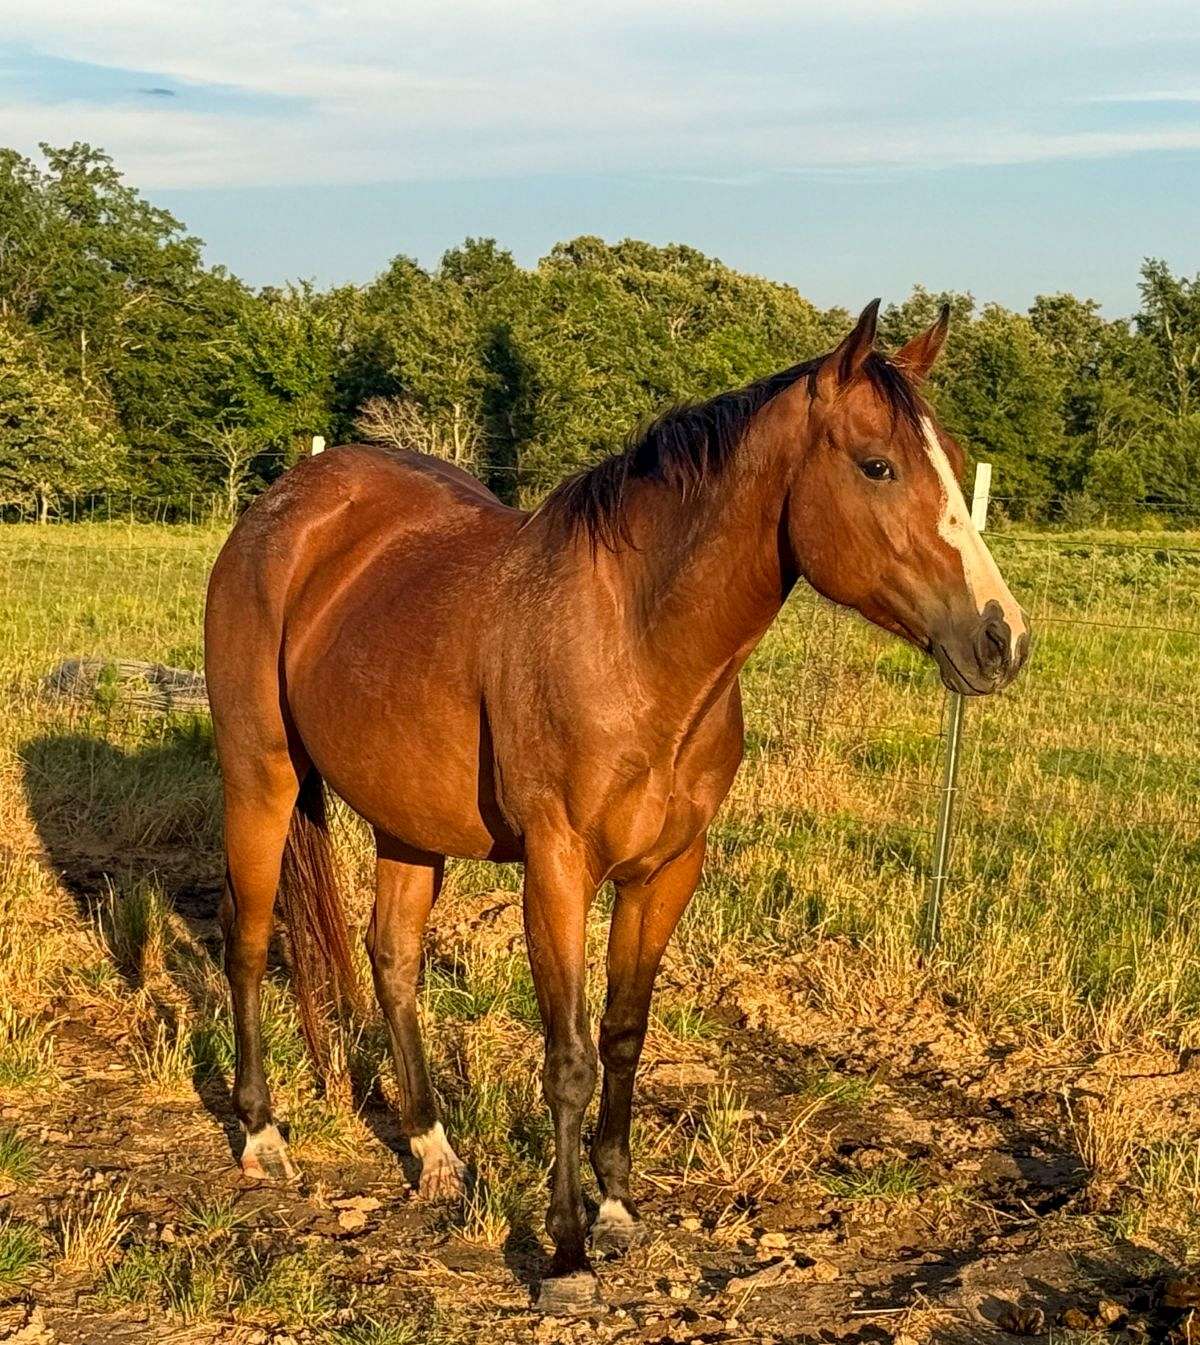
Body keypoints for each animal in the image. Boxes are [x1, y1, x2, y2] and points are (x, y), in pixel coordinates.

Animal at [203, 299, 1028, 1312]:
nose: (1000, 638)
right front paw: (563, 1253)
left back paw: (435, 1153)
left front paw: (618, 1206)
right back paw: (262, 1137)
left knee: (391, 958)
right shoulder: (559, 868)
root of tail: (285, 503)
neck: (635, 640)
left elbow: (624, 1036)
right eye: (878, 465)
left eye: (953, 456)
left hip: (407, 821)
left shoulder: (666, 871)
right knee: (248, 941)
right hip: (261, 777)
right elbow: (567, 1057)